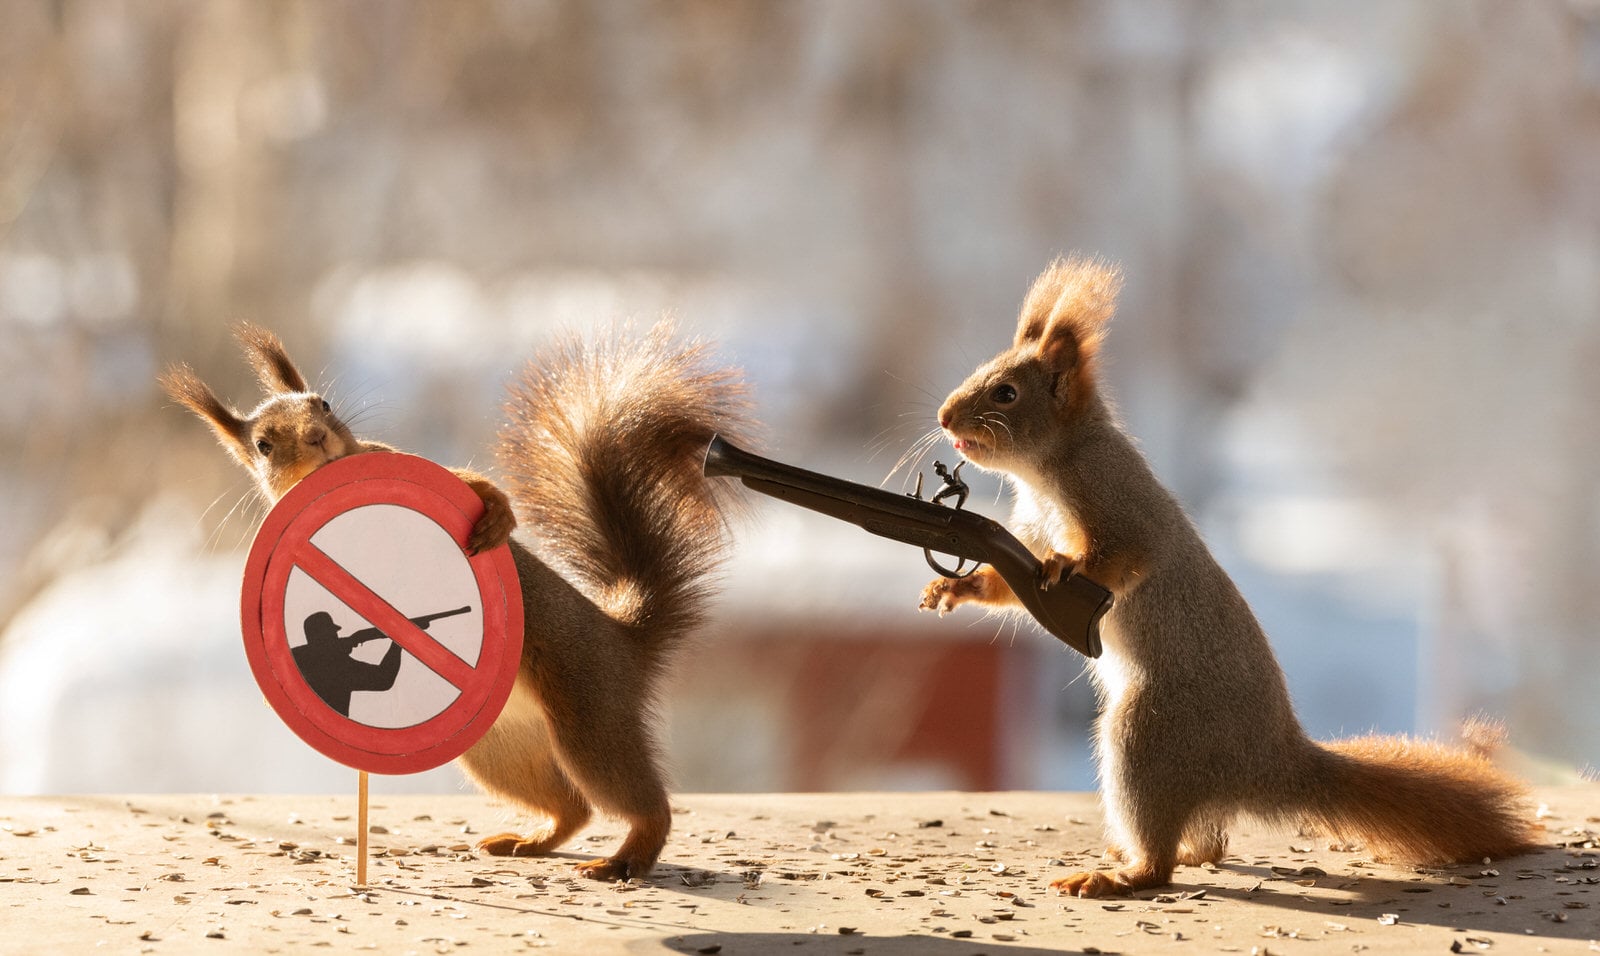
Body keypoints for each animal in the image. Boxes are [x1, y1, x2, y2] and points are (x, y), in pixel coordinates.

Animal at [161, 321, 751, 881]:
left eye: (322, 404)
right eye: (263, 444)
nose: (316, 435)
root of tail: (622, 636)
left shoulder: (397, 461)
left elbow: (466, 484)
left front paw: (496, 517)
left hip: (589, 711)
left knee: (639, 801)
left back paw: (625, 859)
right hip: (499, 752)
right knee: (574, 807)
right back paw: (529, 842)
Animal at [918, 257, 1536, 898]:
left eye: (1006, 393)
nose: (943, 417)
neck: (1046, 474)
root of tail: (1269, 765)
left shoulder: (1118, 502)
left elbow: (1128, 556)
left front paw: (1066, 567)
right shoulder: (1027, 534)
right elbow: (1005, 586)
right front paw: (953, 587)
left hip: (1149, 734)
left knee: (1161, 859)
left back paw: (1120, 874)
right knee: (1211, 843)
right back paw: (1167, 854)